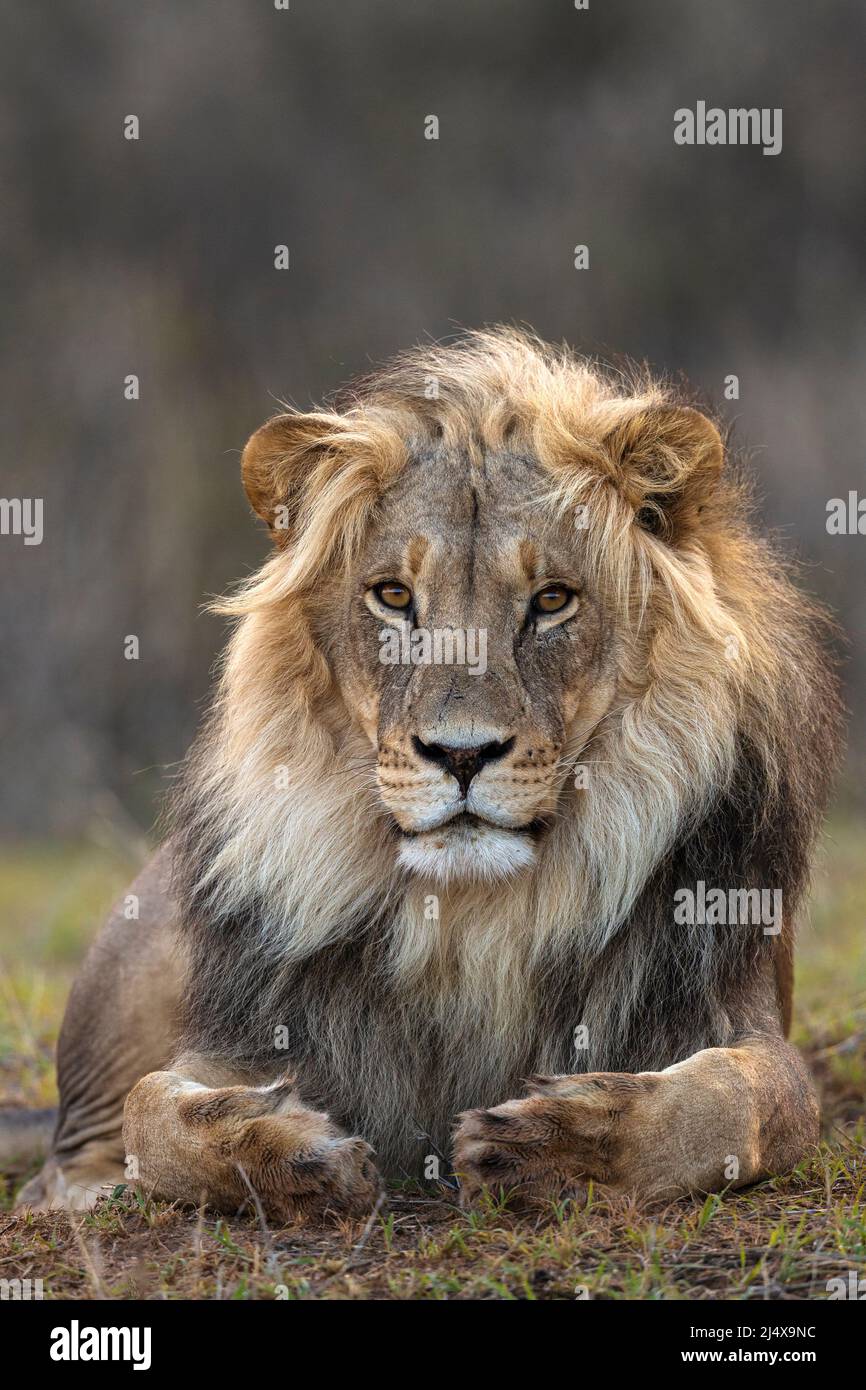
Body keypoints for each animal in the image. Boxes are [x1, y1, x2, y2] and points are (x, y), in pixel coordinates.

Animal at [5, 327, 843, 1219]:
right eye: (394, 596)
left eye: (553, 599)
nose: (462, 753)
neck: (473, 918)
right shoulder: (238, 1034)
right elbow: (155, 1114)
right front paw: (289, 1151)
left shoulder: (735, 1018)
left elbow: (742, 1101)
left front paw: (560, 1140)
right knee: (76, 1151)